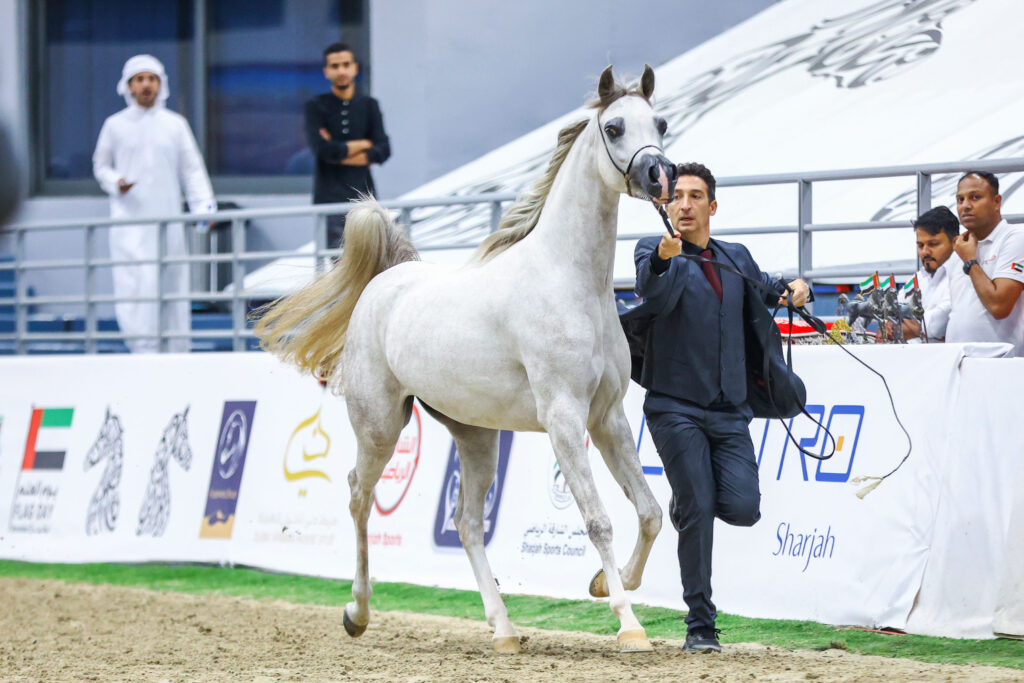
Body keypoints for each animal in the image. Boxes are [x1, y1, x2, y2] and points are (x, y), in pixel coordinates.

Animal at [255, 65, 676, 653]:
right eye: (614, 127)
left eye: (659, 123)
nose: (660, 176)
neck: (571, 282)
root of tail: (388, 280)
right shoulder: (565, 419)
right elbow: (598, 521)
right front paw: (629, 624)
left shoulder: (607, 418)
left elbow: (650, 511)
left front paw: (604, 584)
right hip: (380, 426)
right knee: (359, 496)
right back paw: (357, 612)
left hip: (476, 436)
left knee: (467, 522)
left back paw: (504, 630)